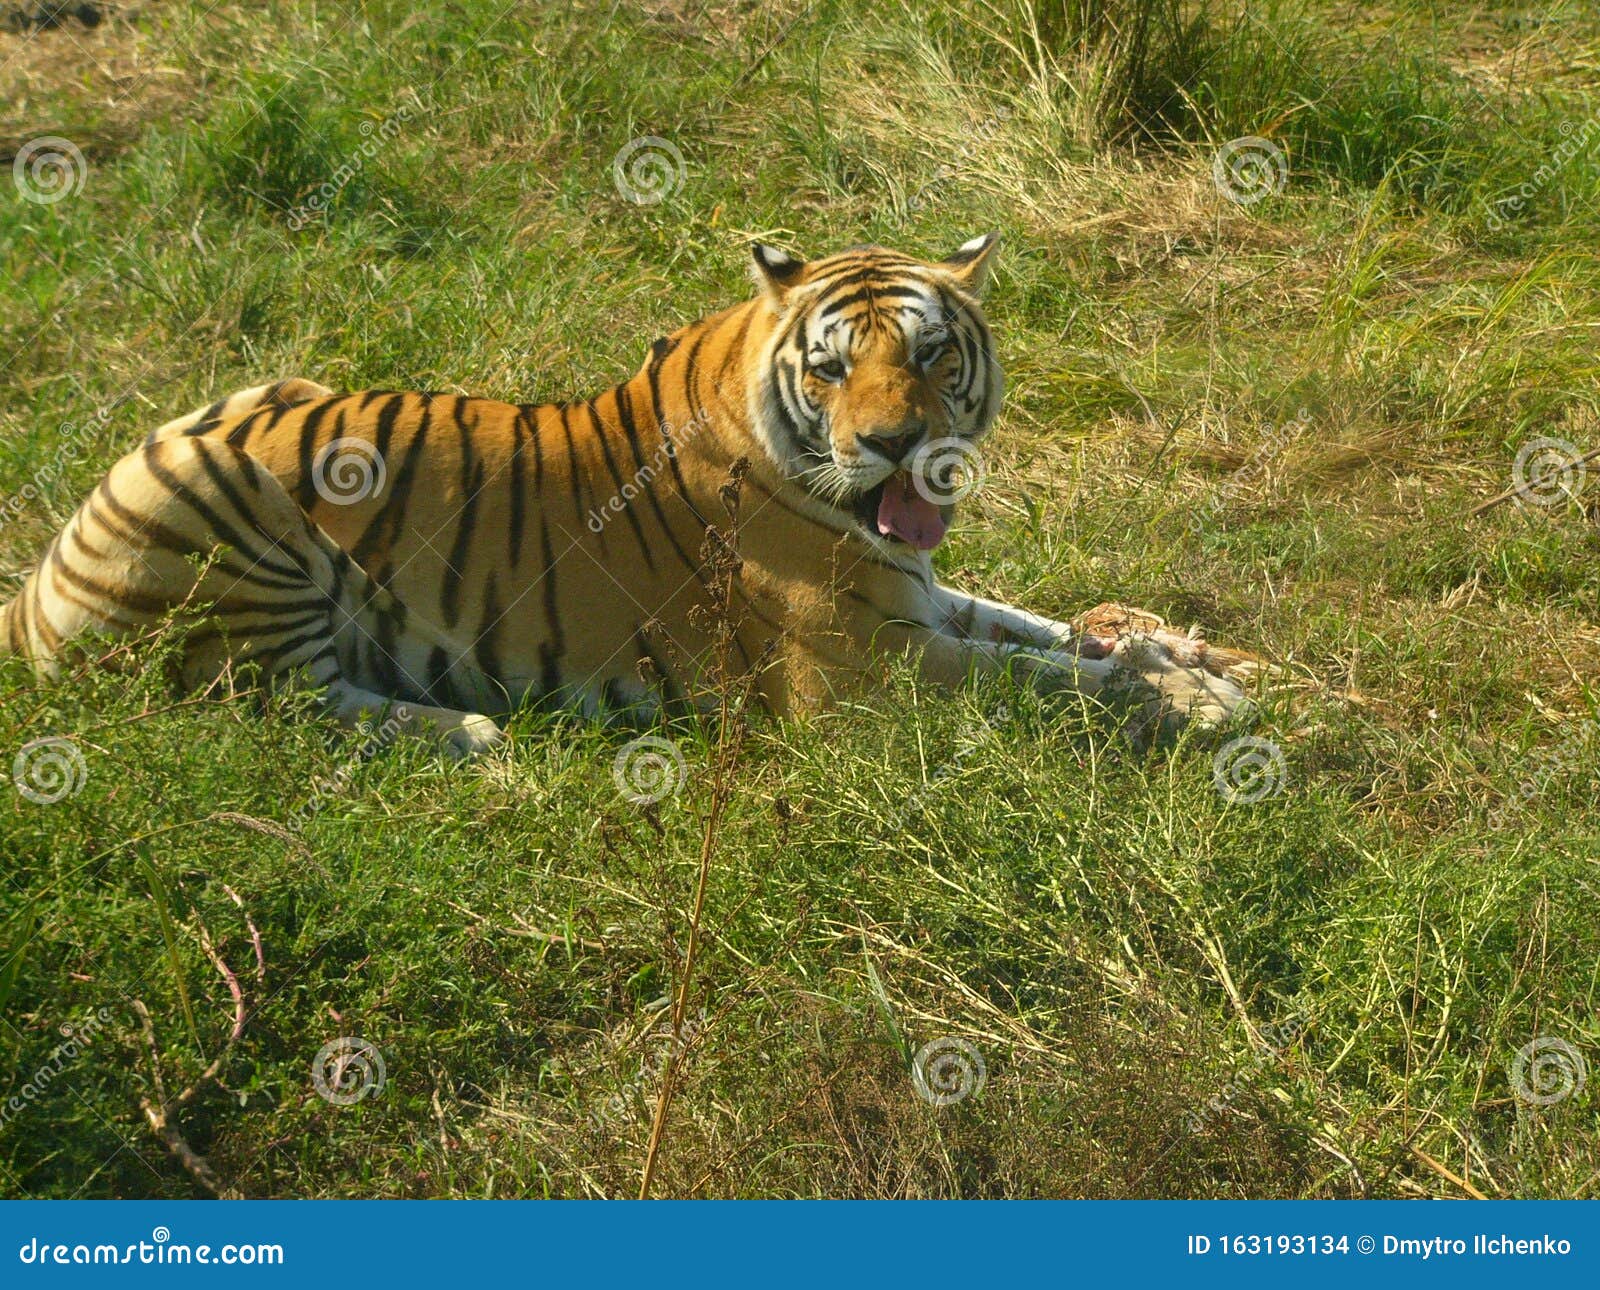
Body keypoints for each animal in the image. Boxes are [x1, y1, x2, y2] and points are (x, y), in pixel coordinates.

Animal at [0, 235, 1250, 755]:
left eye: (934, 354)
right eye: (832, 369)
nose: (897, 446)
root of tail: (39, 571)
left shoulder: (911, 594)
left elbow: (1035, 627)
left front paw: (1180, 653)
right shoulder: (866, 670)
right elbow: (1045, 678)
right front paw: (1196, 704)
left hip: (269, 388)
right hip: (223, 502)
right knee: (272, 707)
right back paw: (465, 731)